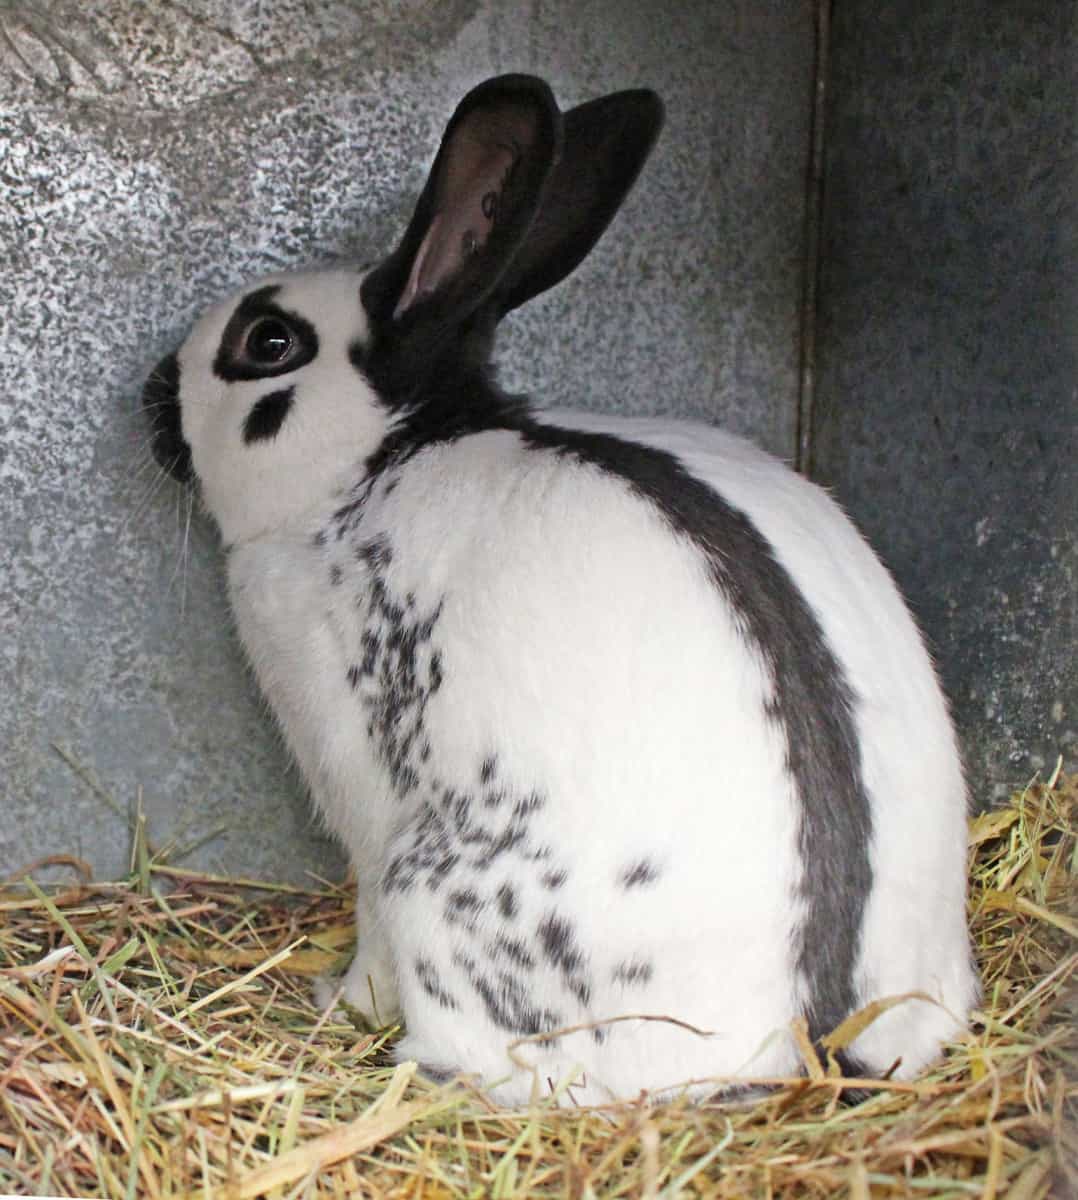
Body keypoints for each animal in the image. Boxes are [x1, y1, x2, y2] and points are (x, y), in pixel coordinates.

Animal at [142, 73, 978, 1107]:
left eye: (268, 340)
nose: (150, 392)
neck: (373, 463)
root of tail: (818, 1038)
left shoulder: (361, 797)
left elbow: (366, 927)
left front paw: (339, 1006)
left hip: (431, 892)